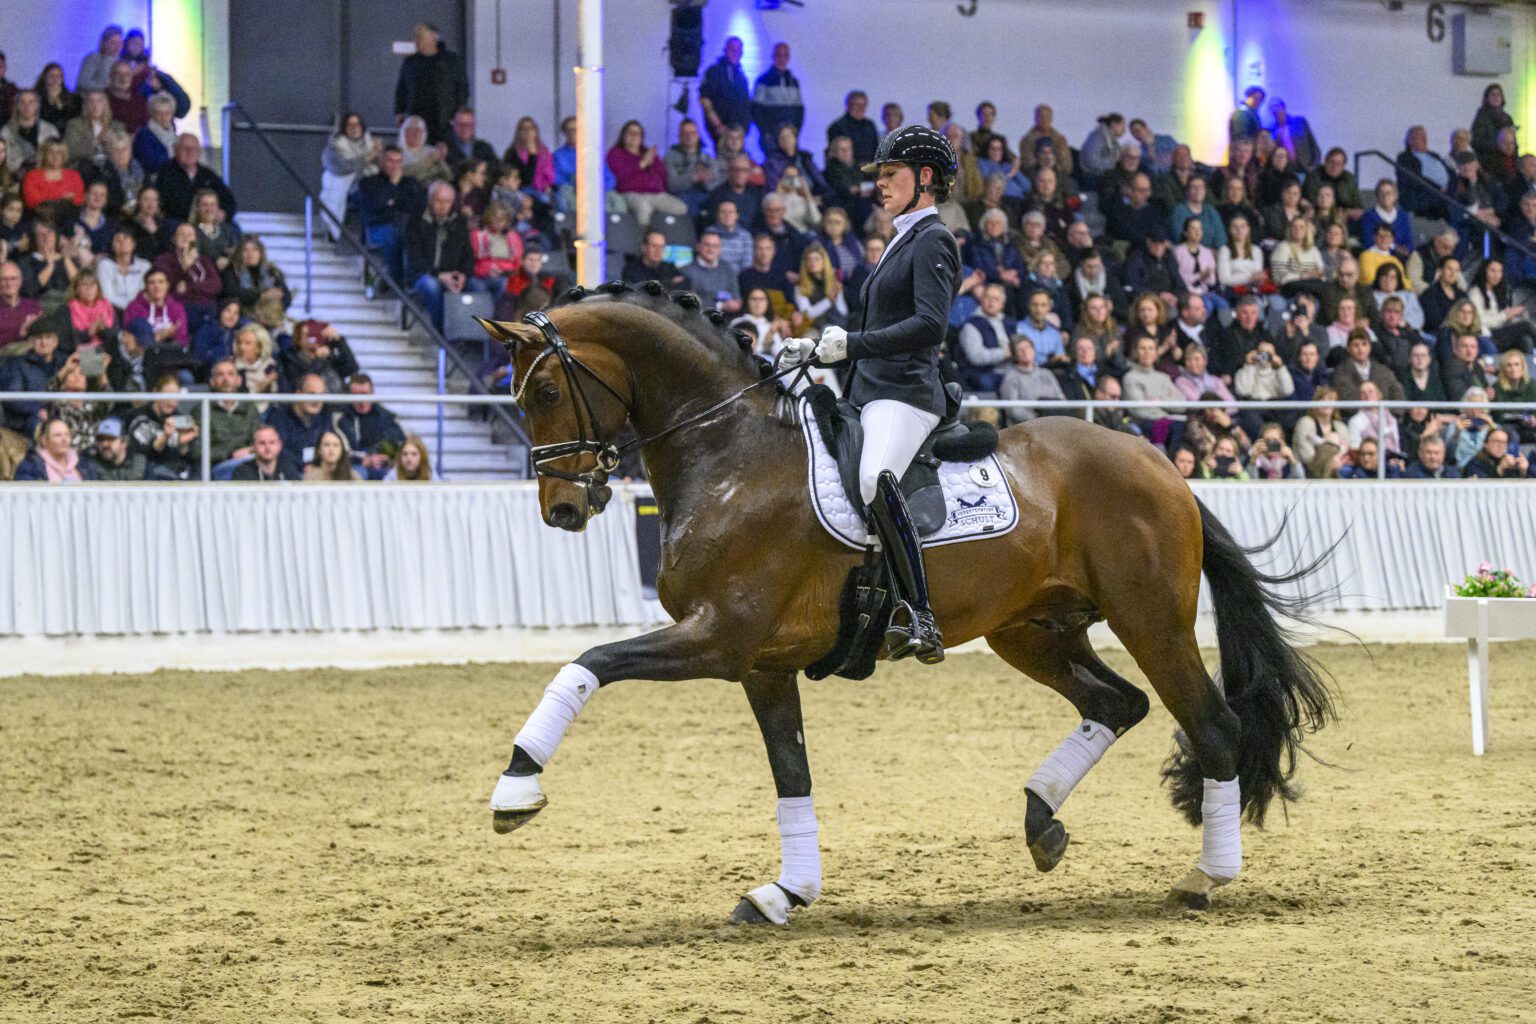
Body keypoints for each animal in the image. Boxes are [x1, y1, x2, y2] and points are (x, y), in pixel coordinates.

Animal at [478, 281, 1335, 925]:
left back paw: (1206, 877)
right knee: (1116, 703)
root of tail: (1160, 463)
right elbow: (792, 773)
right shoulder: (761, 664)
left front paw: (517, 787)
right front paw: (787, 892)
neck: (731, 456)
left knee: (1214, 727)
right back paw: (1042, 821)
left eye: (546, 389)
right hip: (1032, 630)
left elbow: (590, 662)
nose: (564, 508)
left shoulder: (719, 637)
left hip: (1150, 621)